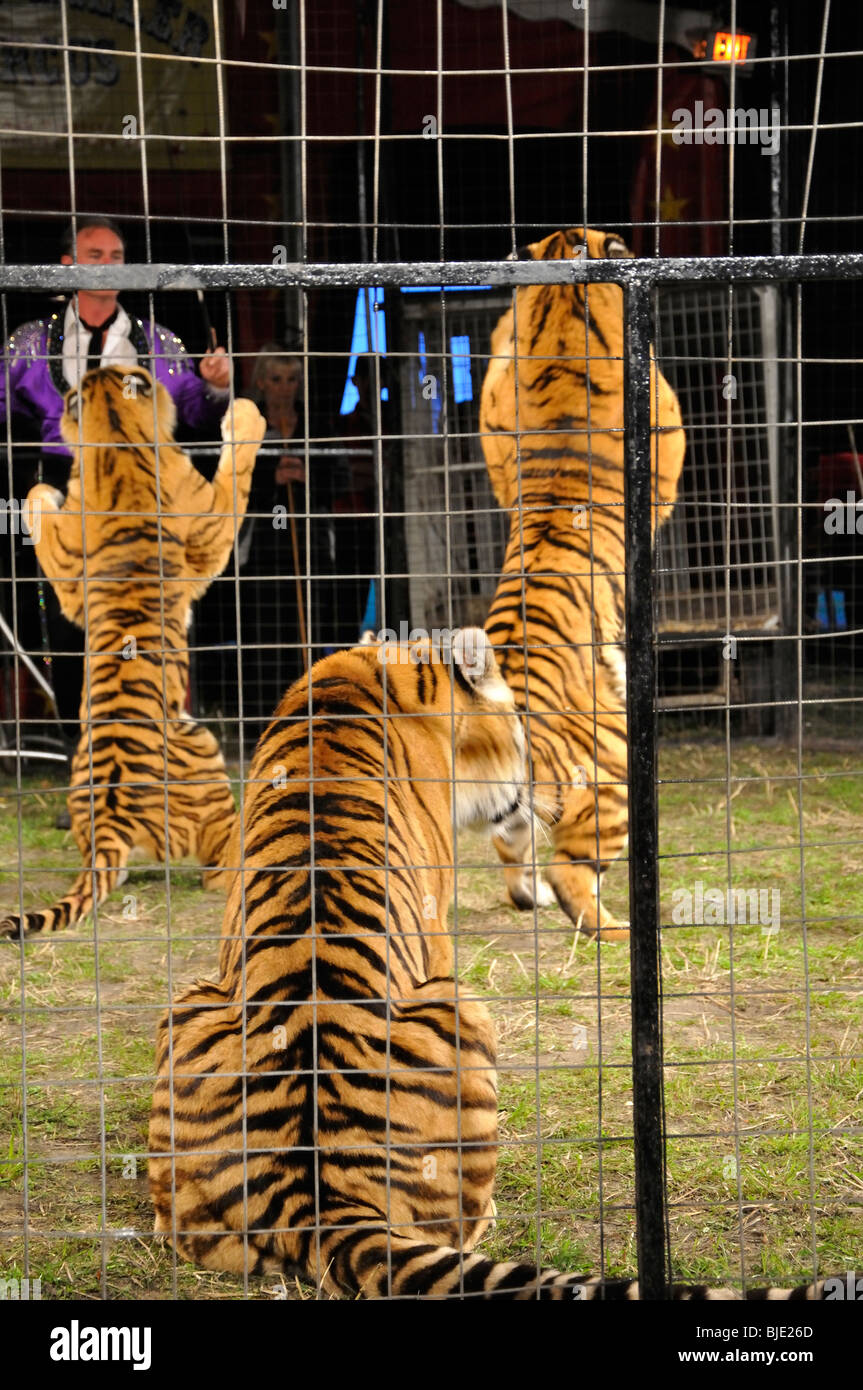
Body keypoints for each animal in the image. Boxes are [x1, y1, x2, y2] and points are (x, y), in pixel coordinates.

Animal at [0, 365, 266, 938]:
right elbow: (234, 476)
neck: (114, 432)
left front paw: (42, 493)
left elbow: (37, 502)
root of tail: (108, 824)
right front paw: (246, 415)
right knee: (218, 870)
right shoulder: (209, 528)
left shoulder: (69, 576)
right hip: (204, 750)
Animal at [148, 629, 825, 1300]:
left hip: (188, 1006)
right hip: (463, 1007)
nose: (549, 794)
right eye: (522, 737)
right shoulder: (437, 928)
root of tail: (325, 1205)